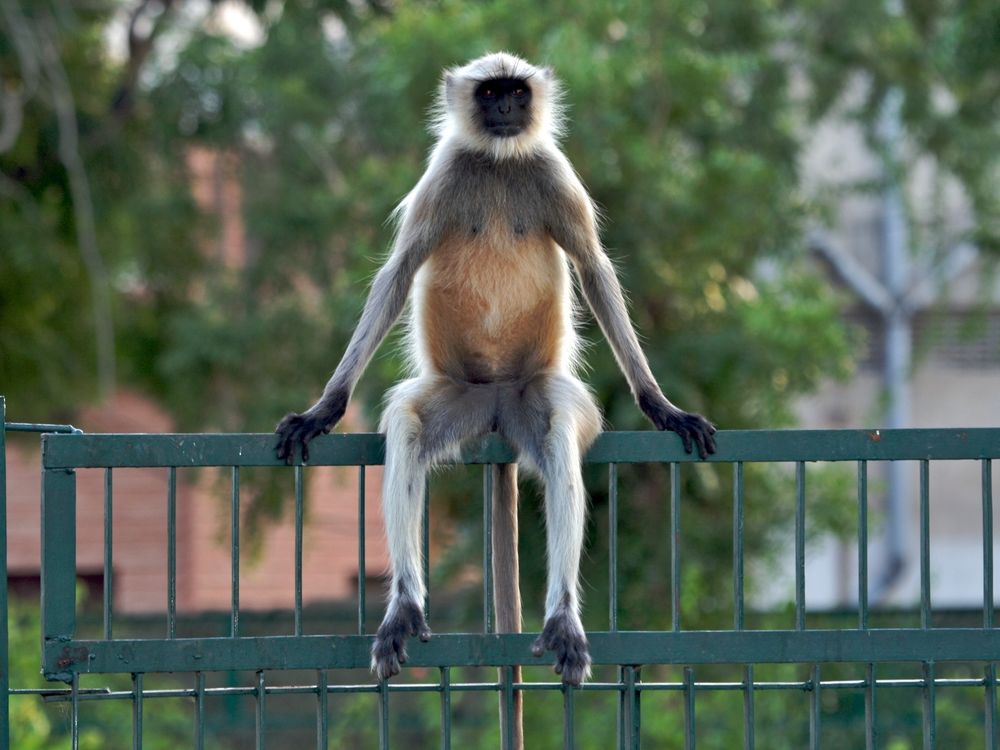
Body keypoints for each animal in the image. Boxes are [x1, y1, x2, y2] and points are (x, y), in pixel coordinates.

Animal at [276, 53, 715, 705]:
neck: (500, 163)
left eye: (515, 92)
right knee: (407, 426)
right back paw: (404, 608)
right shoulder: (445, 174)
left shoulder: (554, 173)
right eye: (489, 94)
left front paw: (661, 407)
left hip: (533, 392)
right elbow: (398, 271)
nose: (506, 107)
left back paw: (562, 618)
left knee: (559, 434)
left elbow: (594, 267)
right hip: (459, 396)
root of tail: (498, 403)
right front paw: (325, 409)